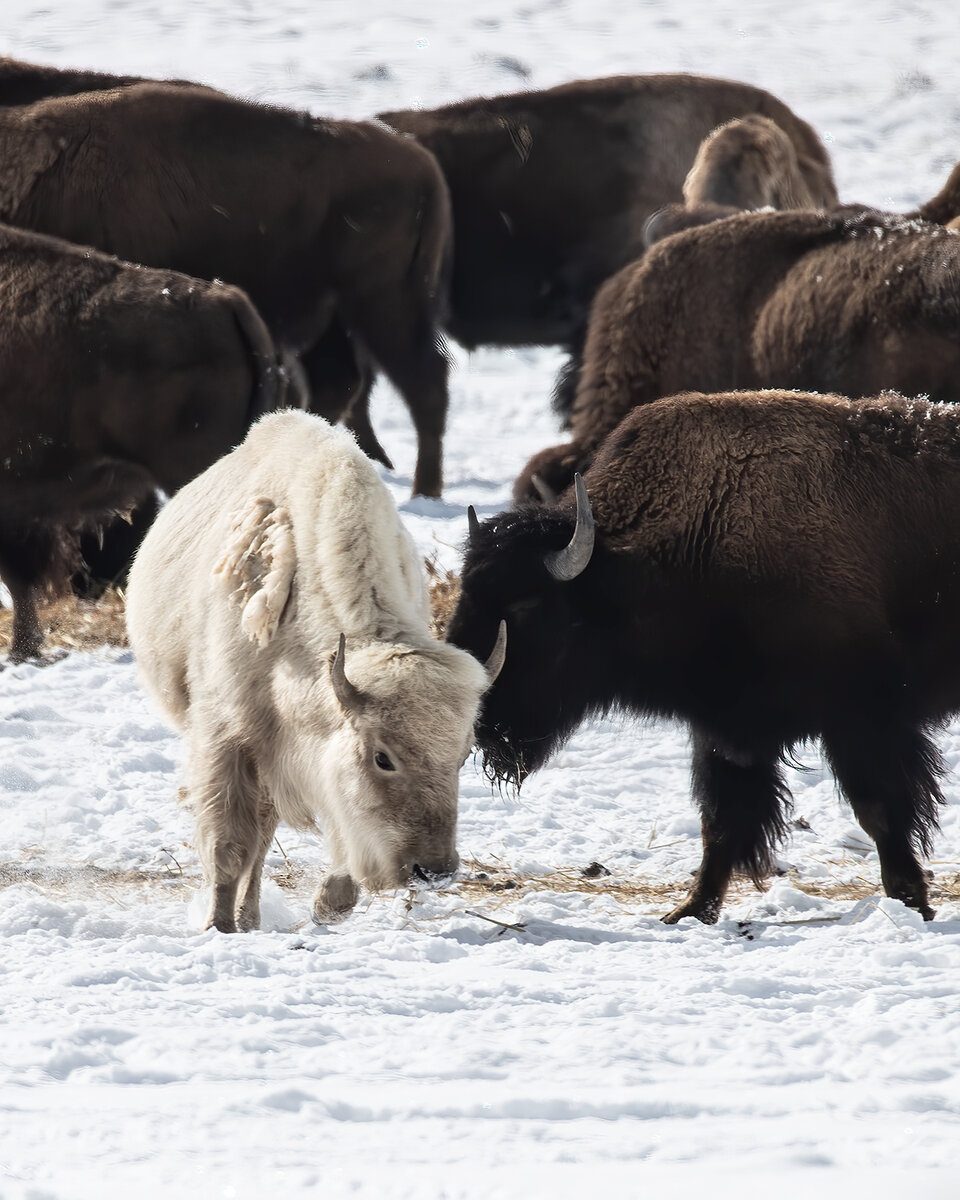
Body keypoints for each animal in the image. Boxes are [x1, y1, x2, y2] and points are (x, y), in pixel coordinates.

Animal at [449, 390, 956, 924]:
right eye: (467, 592)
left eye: (525, 604)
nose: (480, 722)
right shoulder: (727, 729)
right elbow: (721, 819)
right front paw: (689, 912)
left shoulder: (861, 718)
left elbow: (880, 809)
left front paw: (910, 902)